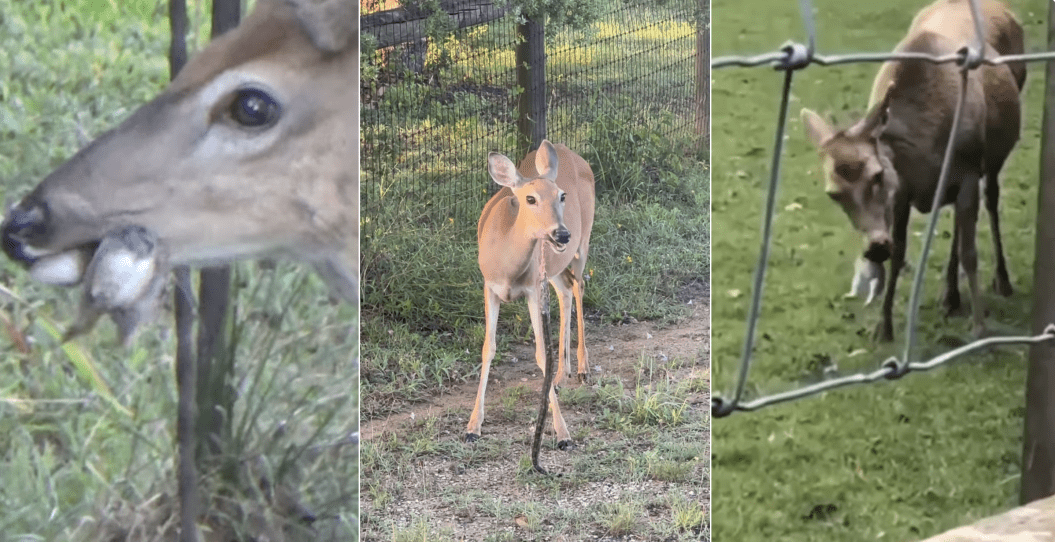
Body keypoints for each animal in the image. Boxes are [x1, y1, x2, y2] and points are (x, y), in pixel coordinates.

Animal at [468, 139, 596, 450]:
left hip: (582, 242)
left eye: (561, 195)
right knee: (566, 289)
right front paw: (473, 426)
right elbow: (488, 348)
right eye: (530, 199)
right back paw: (562, 375)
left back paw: (583, 368)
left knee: (579, 285)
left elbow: (540, 353)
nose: (562, 234)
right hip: (553, 268)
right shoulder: (489, 286)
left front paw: (563, 434)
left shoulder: (532, 290)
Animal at [800, 0, 1023, 342]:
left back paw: (1001, 280)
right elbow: (900, 253)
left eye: (877, 175)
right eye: (834, 193)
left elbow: (971, 253)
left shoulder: (968, 171)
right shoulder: (903, 191)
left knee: (992, 200)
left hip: (993, 157)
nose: (875, 248)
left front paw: (980, 327)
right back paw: (950, 295)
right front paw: (883, 327)